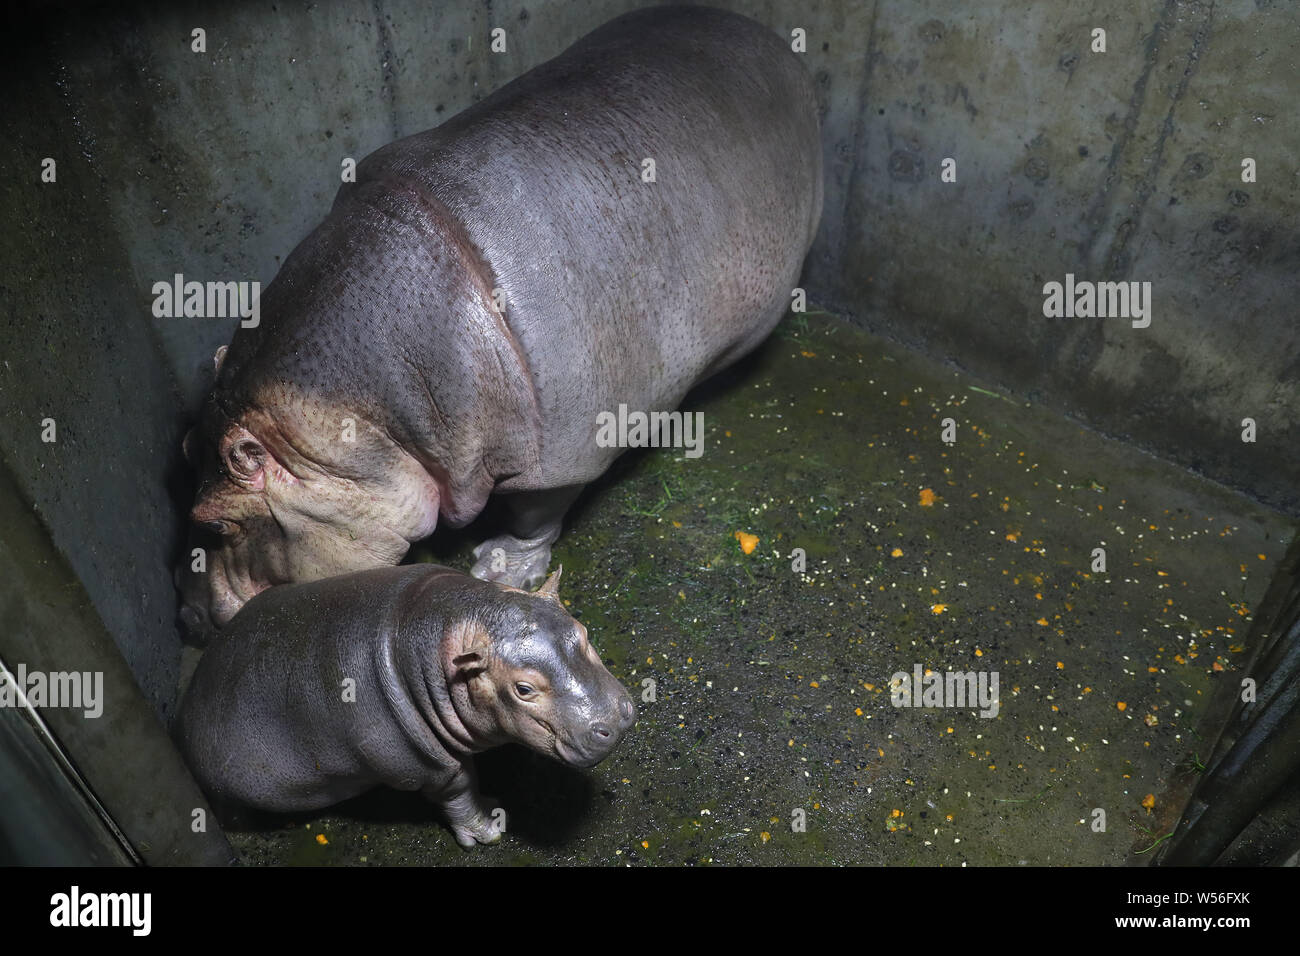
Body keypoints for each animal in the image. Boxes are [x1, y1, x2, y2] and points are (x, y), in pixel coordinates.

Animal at [176, 564, 635, 847]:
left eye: (583, 632)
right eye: (523, 689)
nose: (612, 719)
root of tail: (193, 692)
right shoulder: (428, 765)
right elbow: (459, 791)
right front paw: (489, 828)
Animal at [178, 4, 823, 629]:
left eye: (212, 521)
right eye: (184, 447)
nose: (187, 615)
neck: (370, 417)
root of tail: (769, 39)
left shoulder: (561, 451)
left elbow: (537, 511)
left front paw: (497, 566)